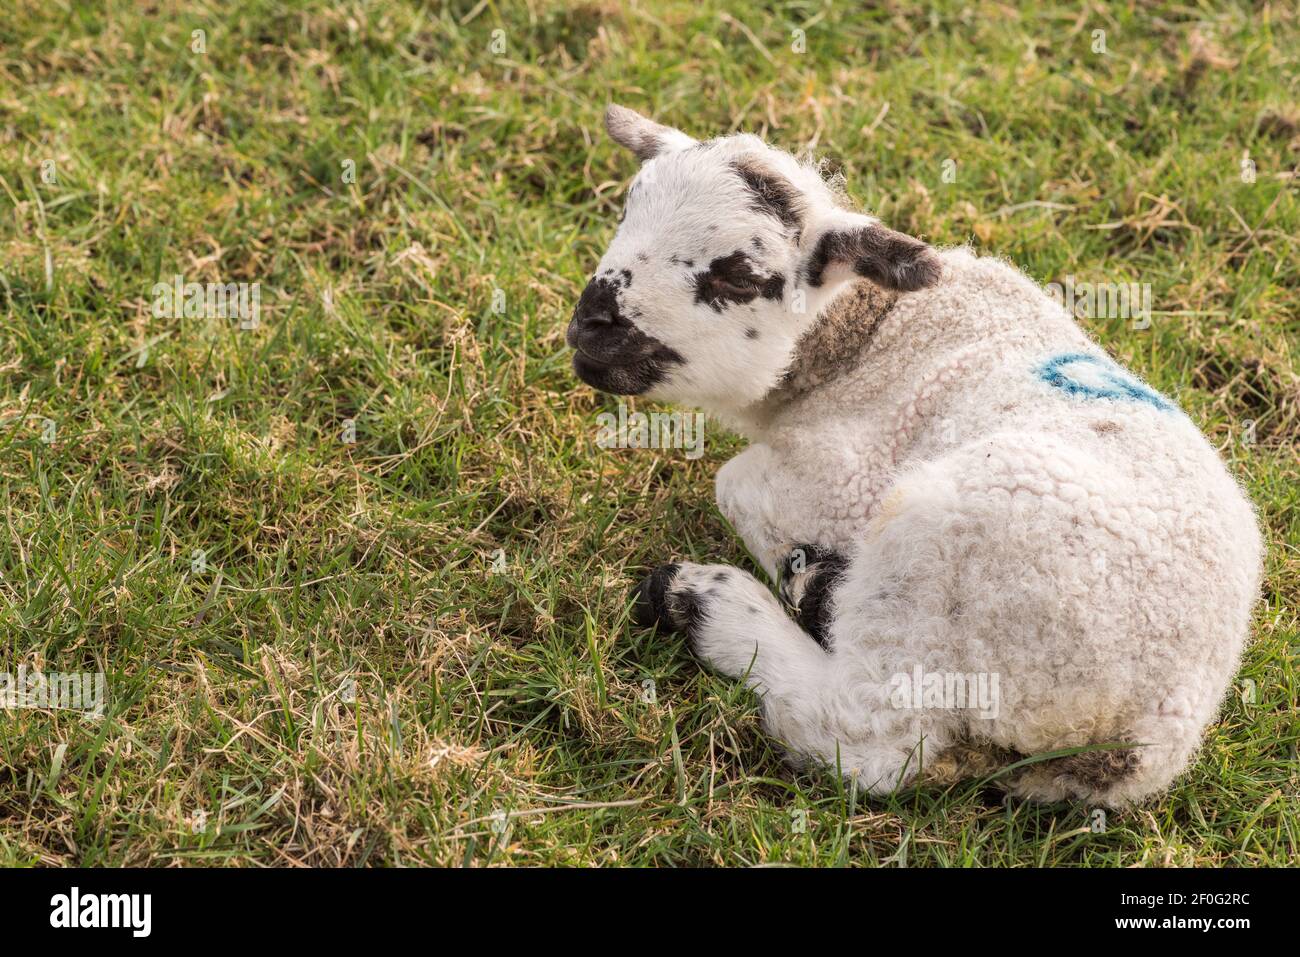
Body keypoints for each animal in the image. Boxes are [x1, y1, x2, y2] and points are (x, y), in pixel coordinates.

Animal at [566, 104, 1263, 805]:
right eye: (625, 214)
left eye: (738, 277)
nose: (590, 324)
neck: (861, 340)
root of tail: (1142, 738)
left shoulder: (841, 476)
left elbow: (733, 483)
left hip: (948, 560)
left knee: (870, 737)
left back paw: (709, 602)